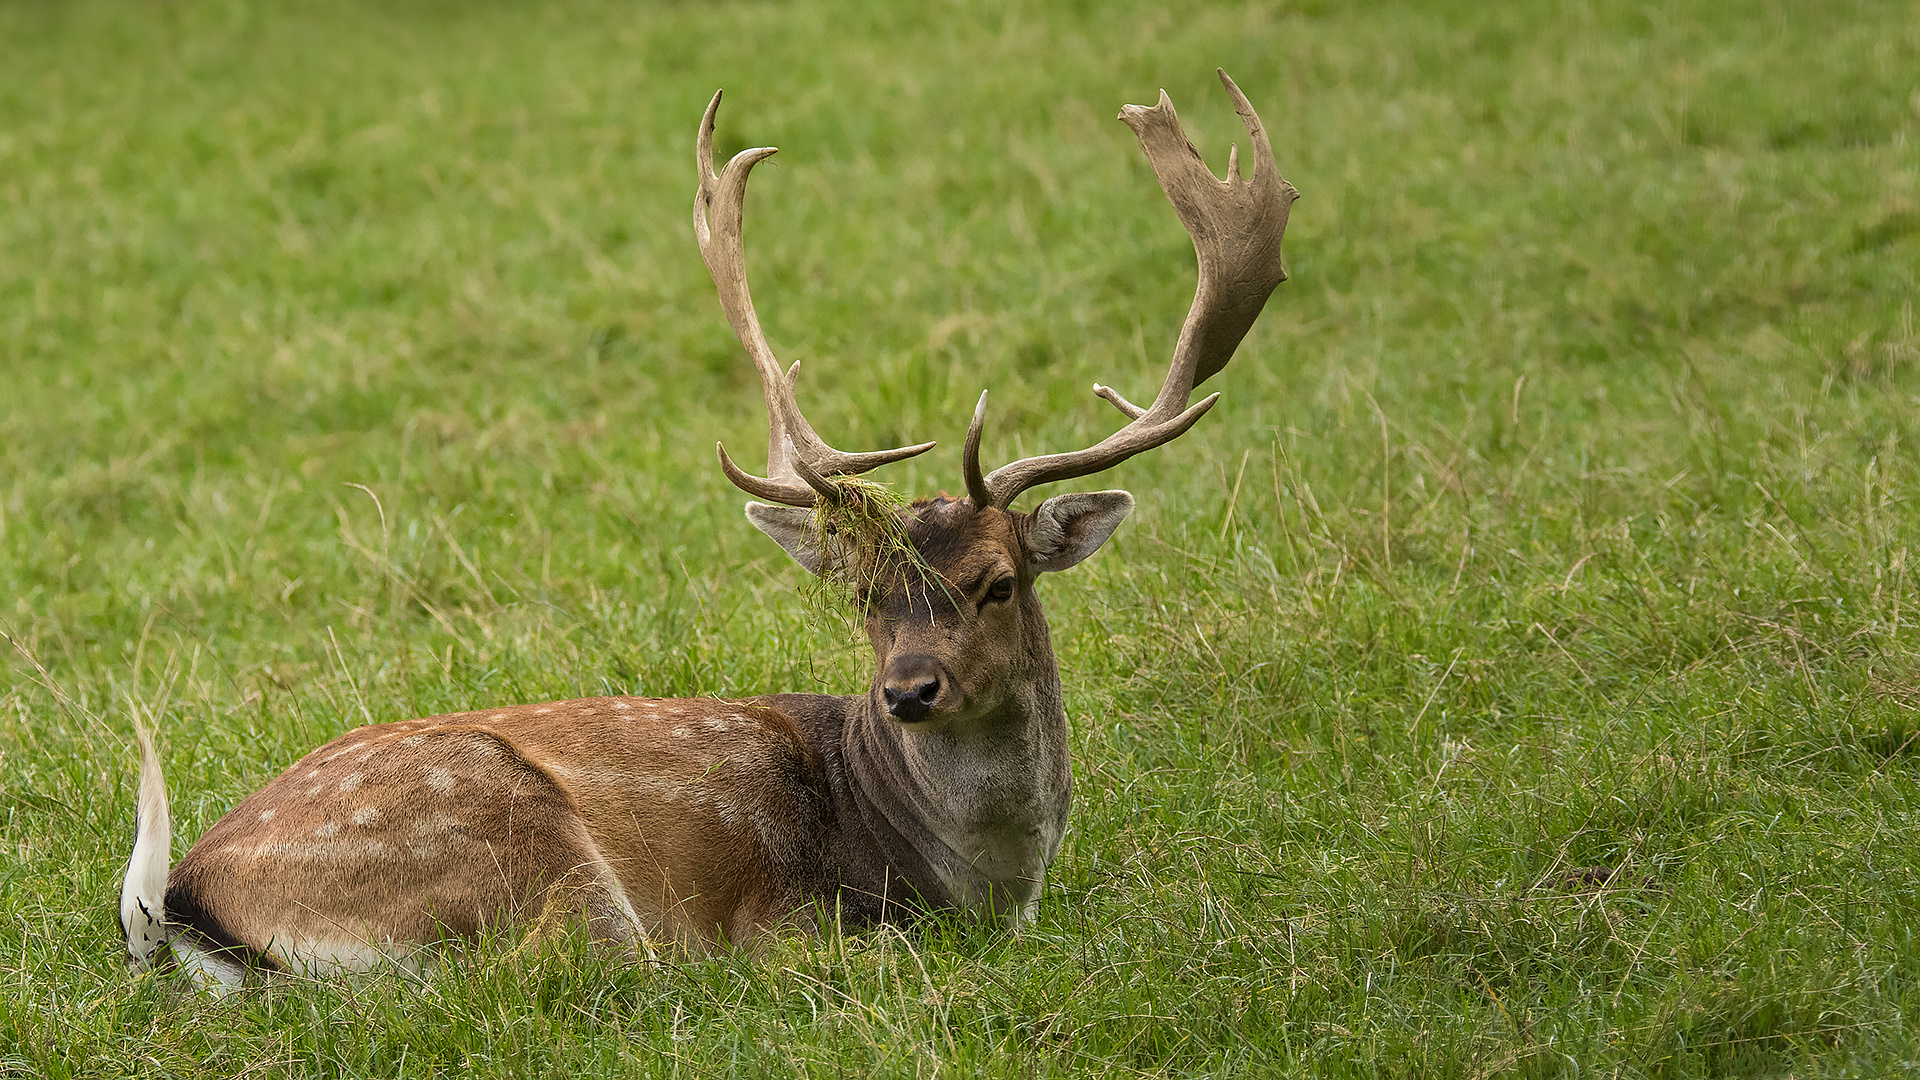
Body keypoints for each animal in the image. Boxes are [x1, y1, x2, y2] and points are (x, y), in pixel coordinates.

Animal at [116, 69, 1290, 983]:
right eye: (864, 597)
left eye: (997, 581)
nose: (908, 691)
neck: (981, 882)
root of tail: (176, 903)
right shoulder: (799, 912)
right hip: (517, 847)